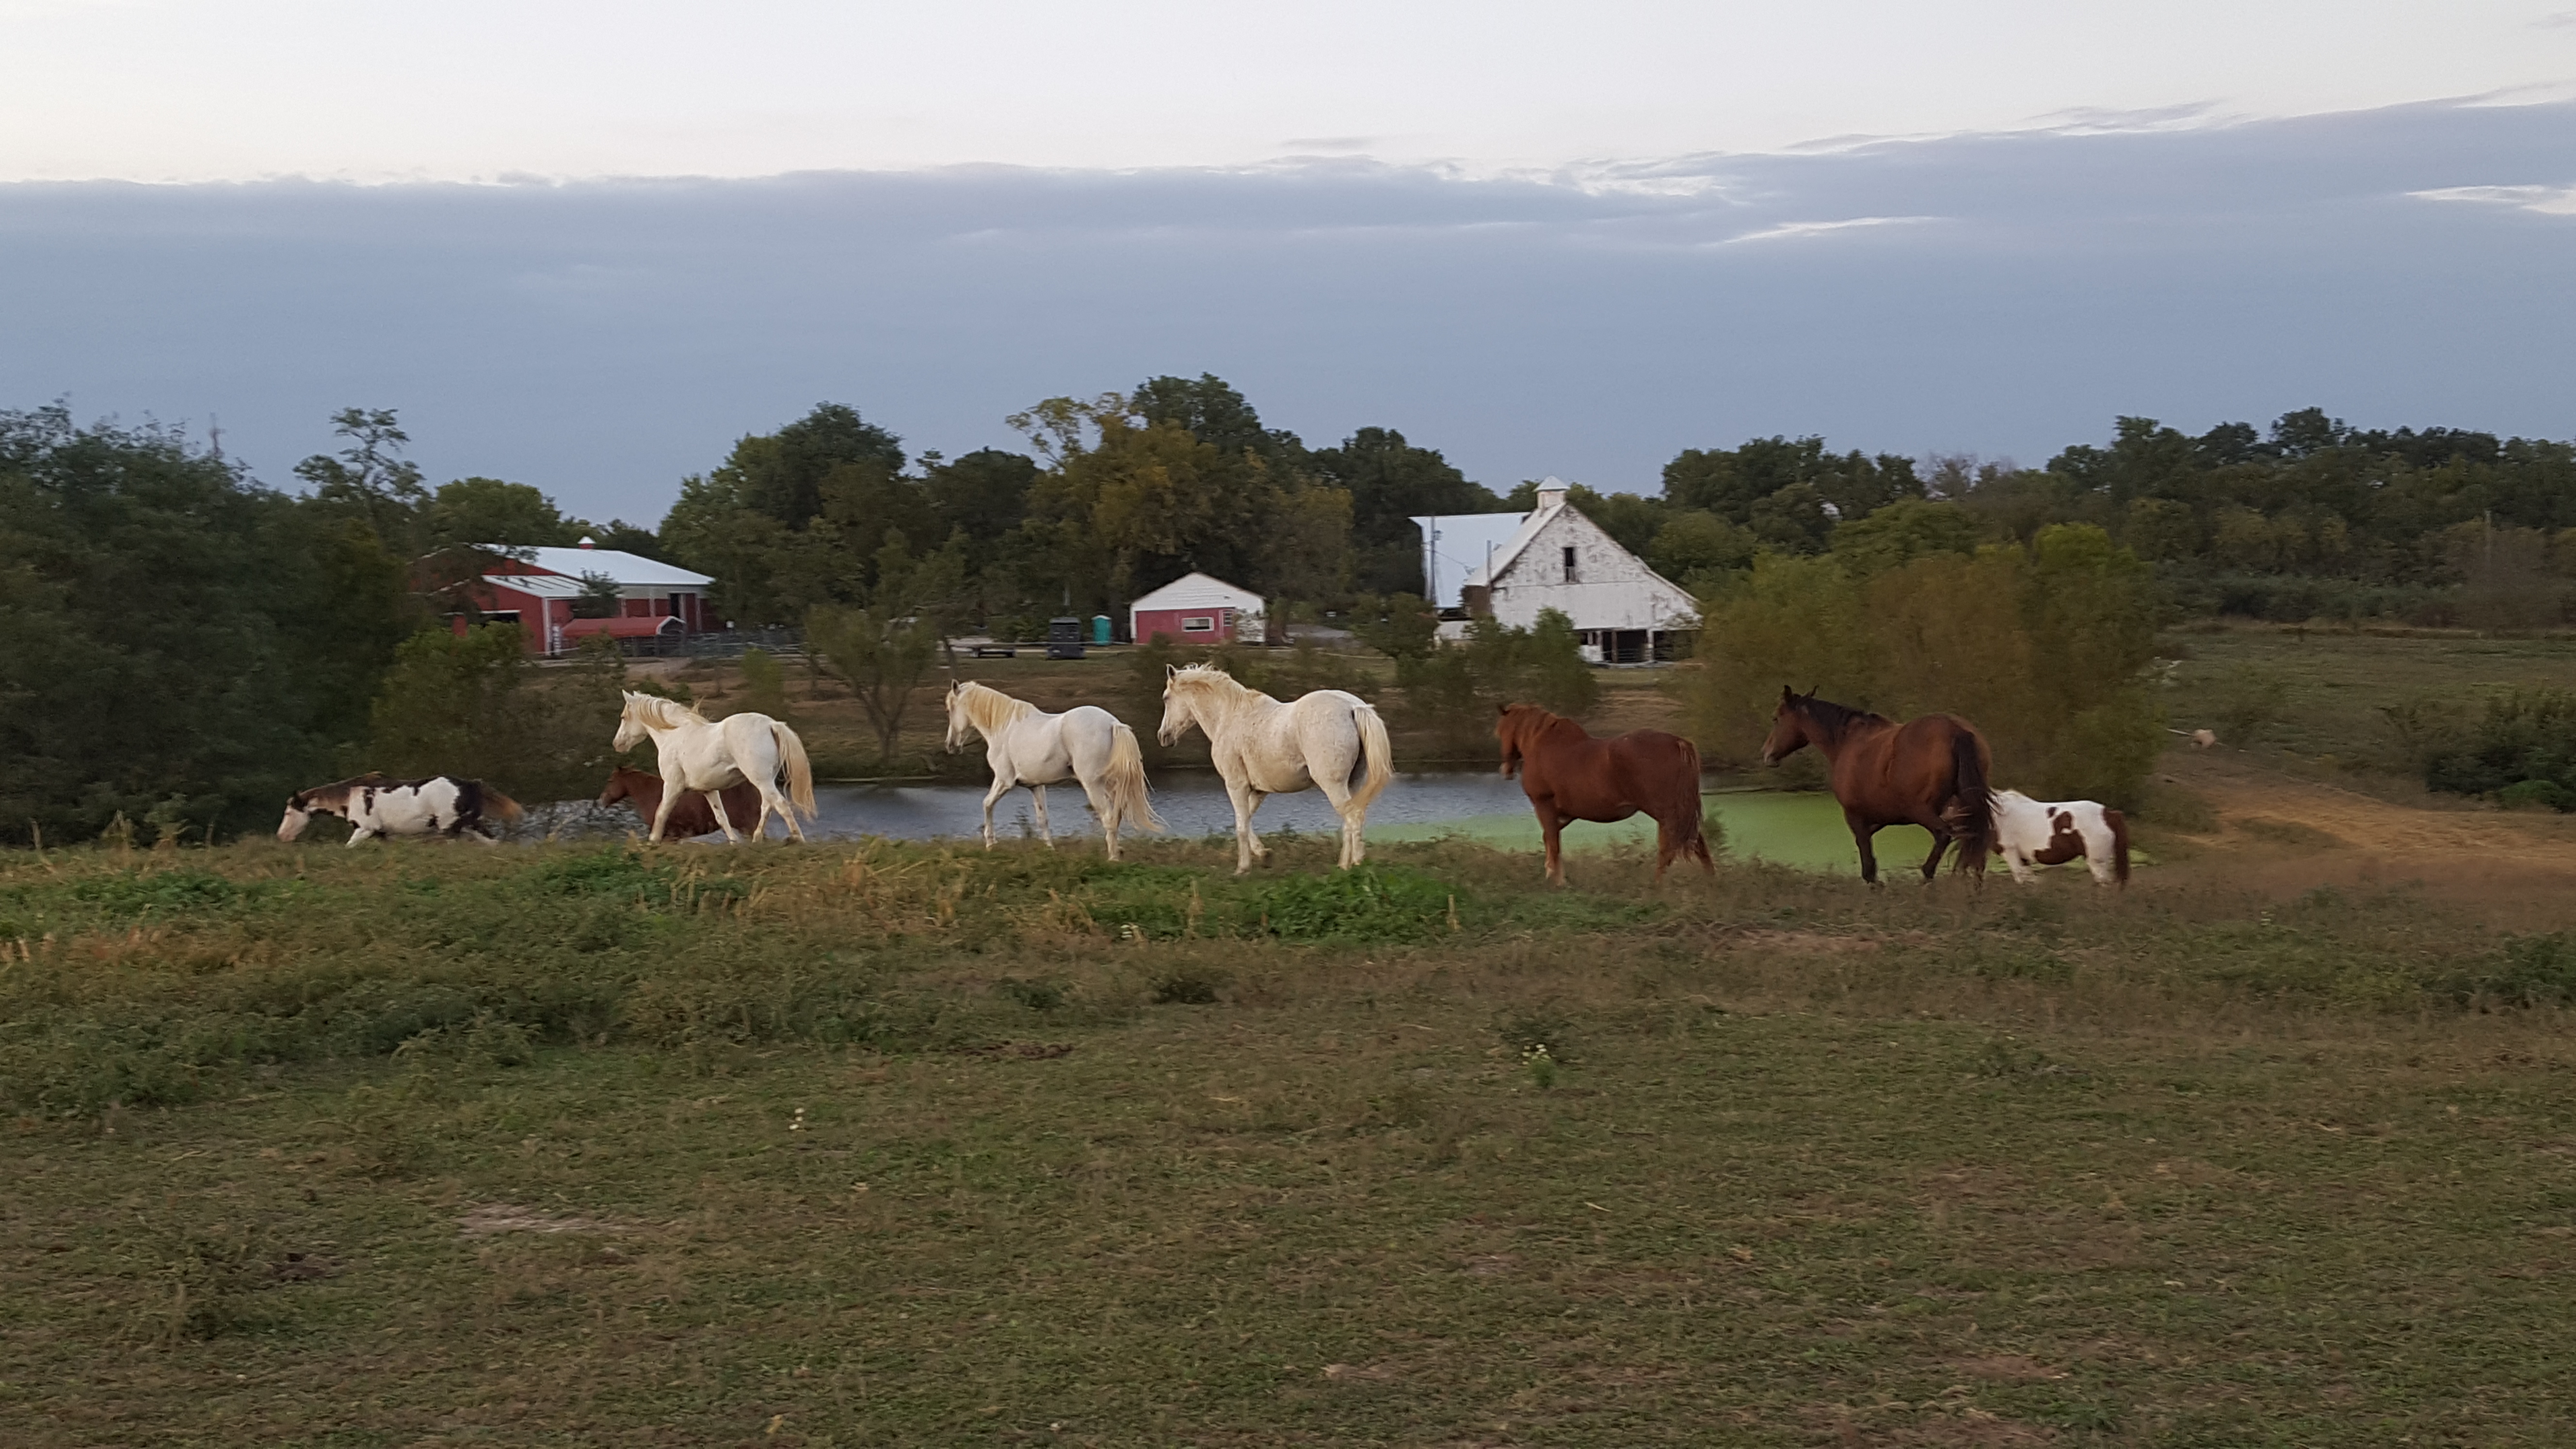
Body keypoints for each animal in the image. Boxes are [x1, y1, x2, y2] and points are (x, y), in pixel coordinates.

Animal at [278, 773, 523, 845]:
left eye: (289, 812)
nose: (282, 836)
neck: (350, 797)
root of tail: (469, 785)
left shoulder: (365, 829)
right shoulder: (382, 834)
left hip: (451, 827)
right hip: (470, 825)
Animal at [943, 679, 1164, 860]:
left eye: (950, 709)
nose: (951, 745)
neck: (1004, 729)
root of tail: (1113, 724)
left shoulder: (1004, 780)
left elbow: (987, 804)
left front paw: (990, 843)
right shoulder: (1036, 786)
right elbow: (1043, 819)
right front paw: (1049, 850)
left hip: (1093, 785)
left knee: (1109, 817)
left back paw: (1113, 859)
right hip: (1112, 785)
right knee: (1116, 816)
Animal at [1156, 663, 1393, 874]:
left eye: (1166, 698)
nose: (1163, 737)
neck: (1229, 717)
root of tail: (1353, 708)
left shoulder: (1236, 785)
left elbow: (1241, 825)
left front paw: (1243, 868)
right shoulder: (1259, 791)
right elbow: (1245, 820)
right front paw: (1264, 854)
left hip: (1333, 785)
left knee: (1353, 817)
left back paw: (1355, 863)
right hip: (1353, 783)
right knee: (1350, 819)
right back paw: (1344, 864)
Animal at [1496, 703, 1712, 885]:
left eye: (1501, 731)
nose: (1506, 770)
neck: (1543, 745)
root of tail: (1678, 743)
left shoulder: (1544, 805)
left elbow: (1553, 842)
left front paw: (1557, 881)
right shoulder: (1567, 813)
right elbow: (1551, 839)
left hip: (1666, 813)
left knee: (1669, 850)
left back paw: (1657, 886)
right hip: (1681, 814)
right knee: (1698, 846)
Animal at [1760, 686, 1995, 883]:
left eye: (1776, 719)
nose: (1766, 754)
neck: (1847, 741)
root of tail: (1956, 731)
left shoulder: (1855, 818)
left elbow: (1868, 868)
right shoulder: (1878, 819)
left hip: (1924, 811)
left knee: (1943, 837)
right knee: (1977, 849)